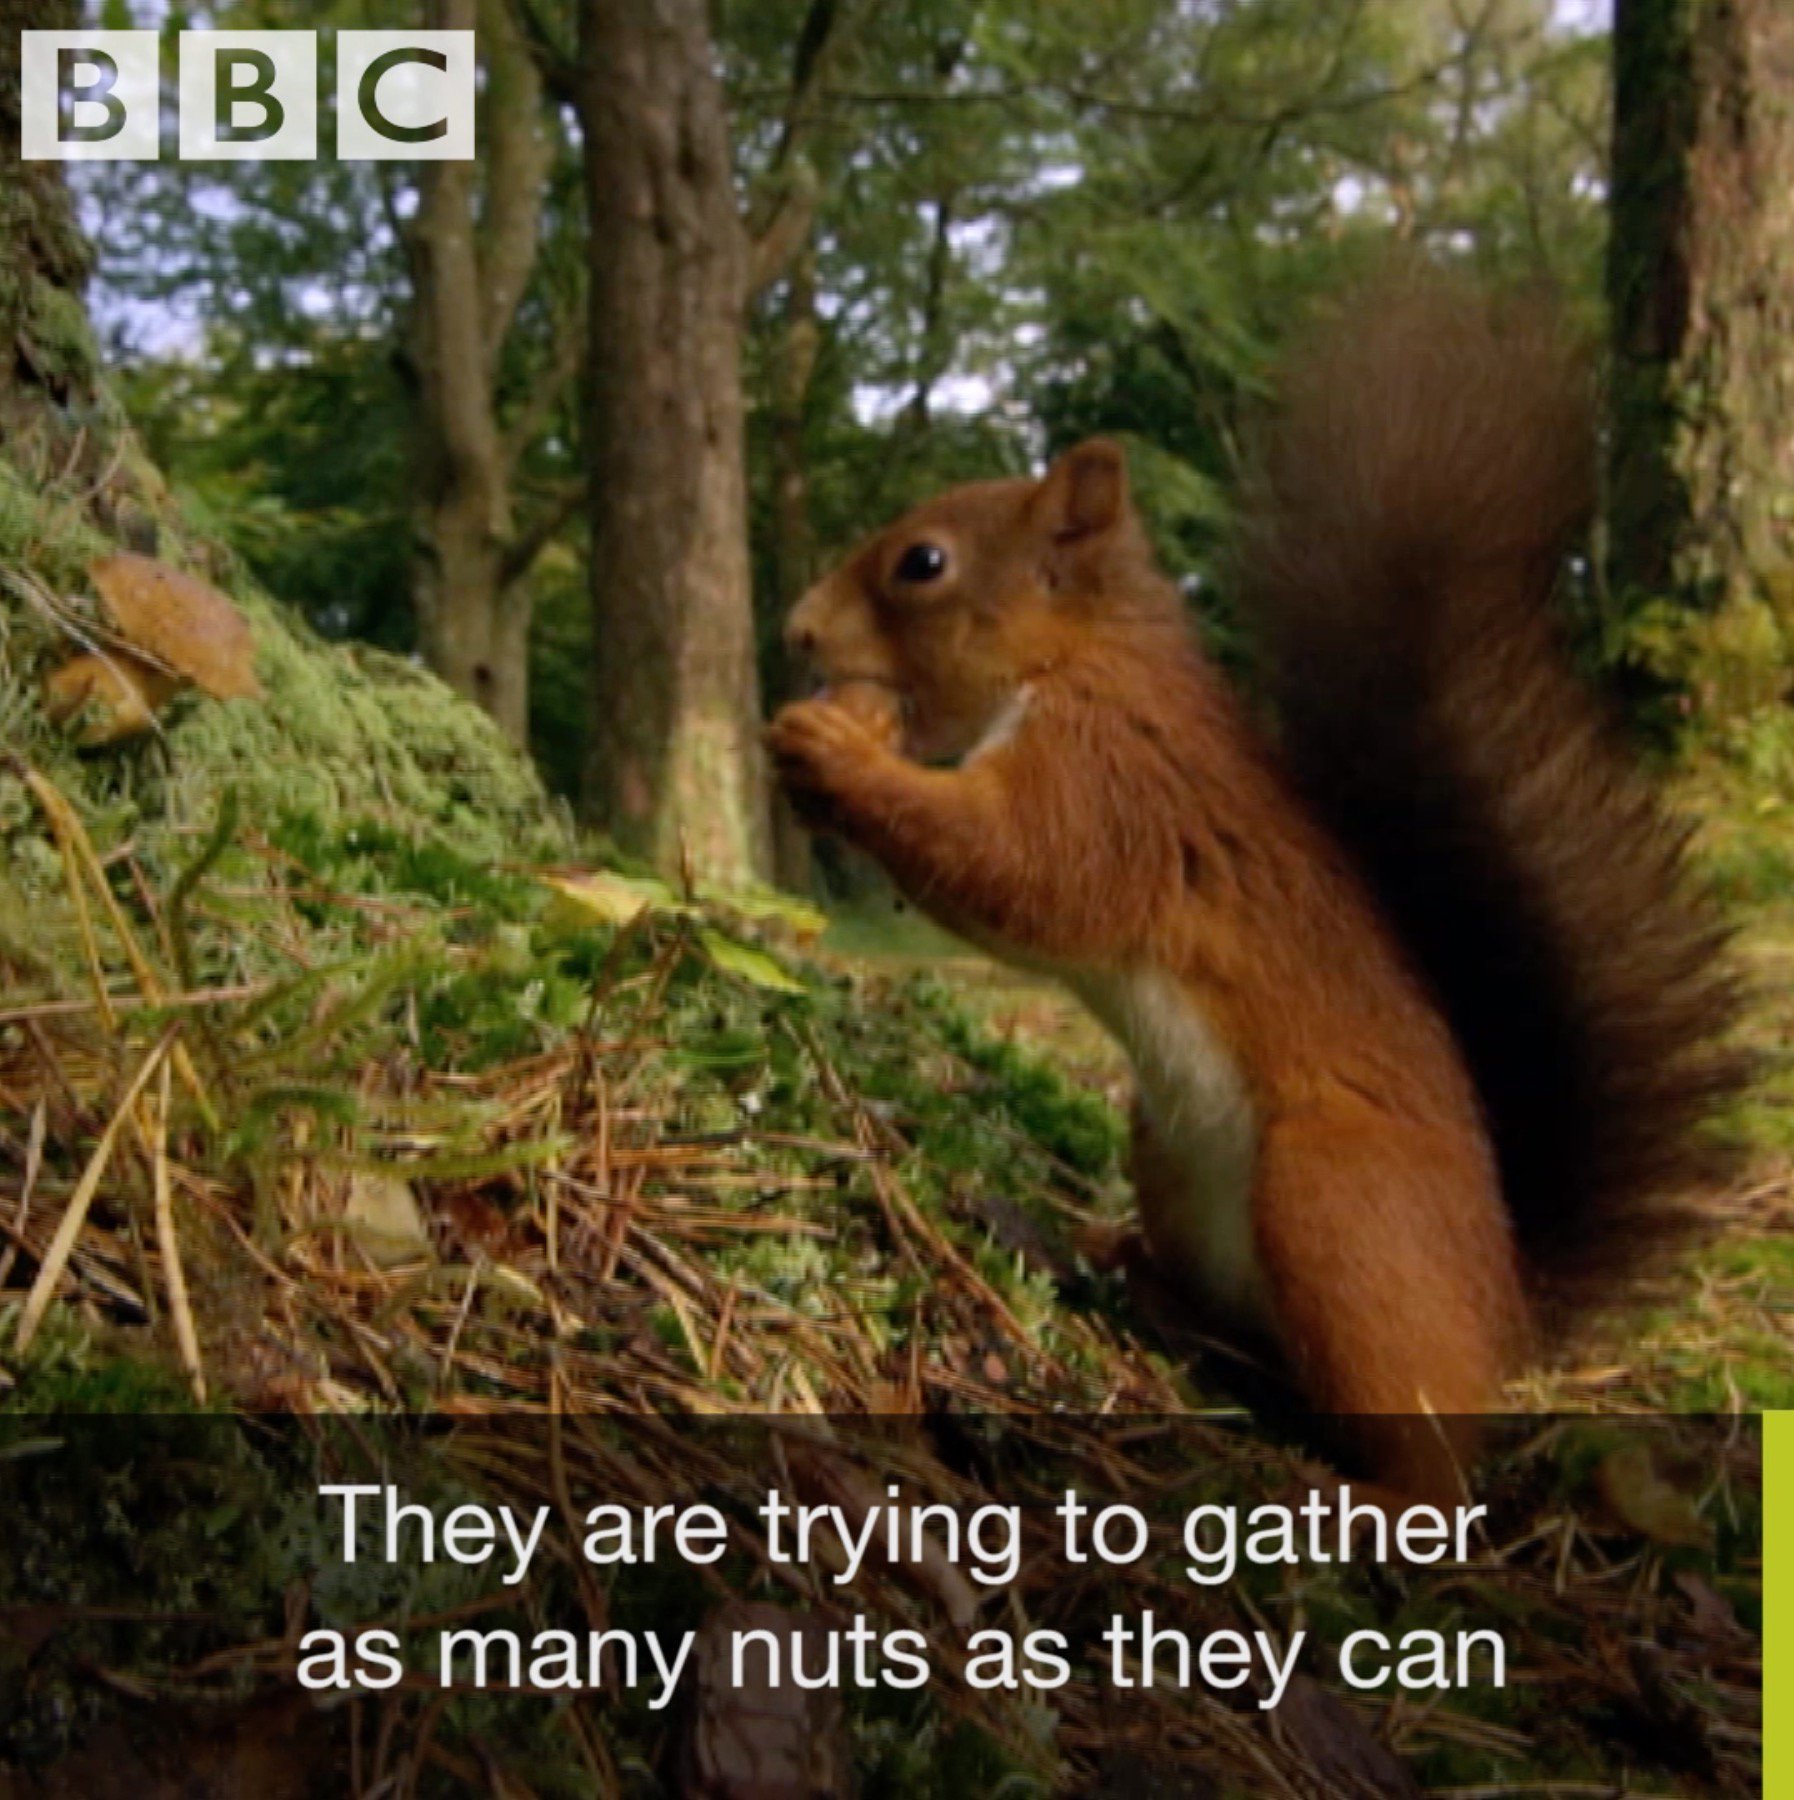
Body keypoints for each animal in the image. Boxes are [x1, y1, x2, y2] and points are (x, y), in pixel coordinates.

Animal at [767, 269, 1742, 1501]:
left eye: (923, 564)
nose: (796, 629)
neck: (1081, 658)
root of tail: (1504, 1314)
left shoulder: (1113, 784)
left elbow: (1028, 873)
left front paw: (838, 759)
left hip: (1334, 1203)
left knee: (1434, 1455)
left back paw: (1369, 1490)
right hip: (1170, 1151)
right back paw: (1128, 1267)